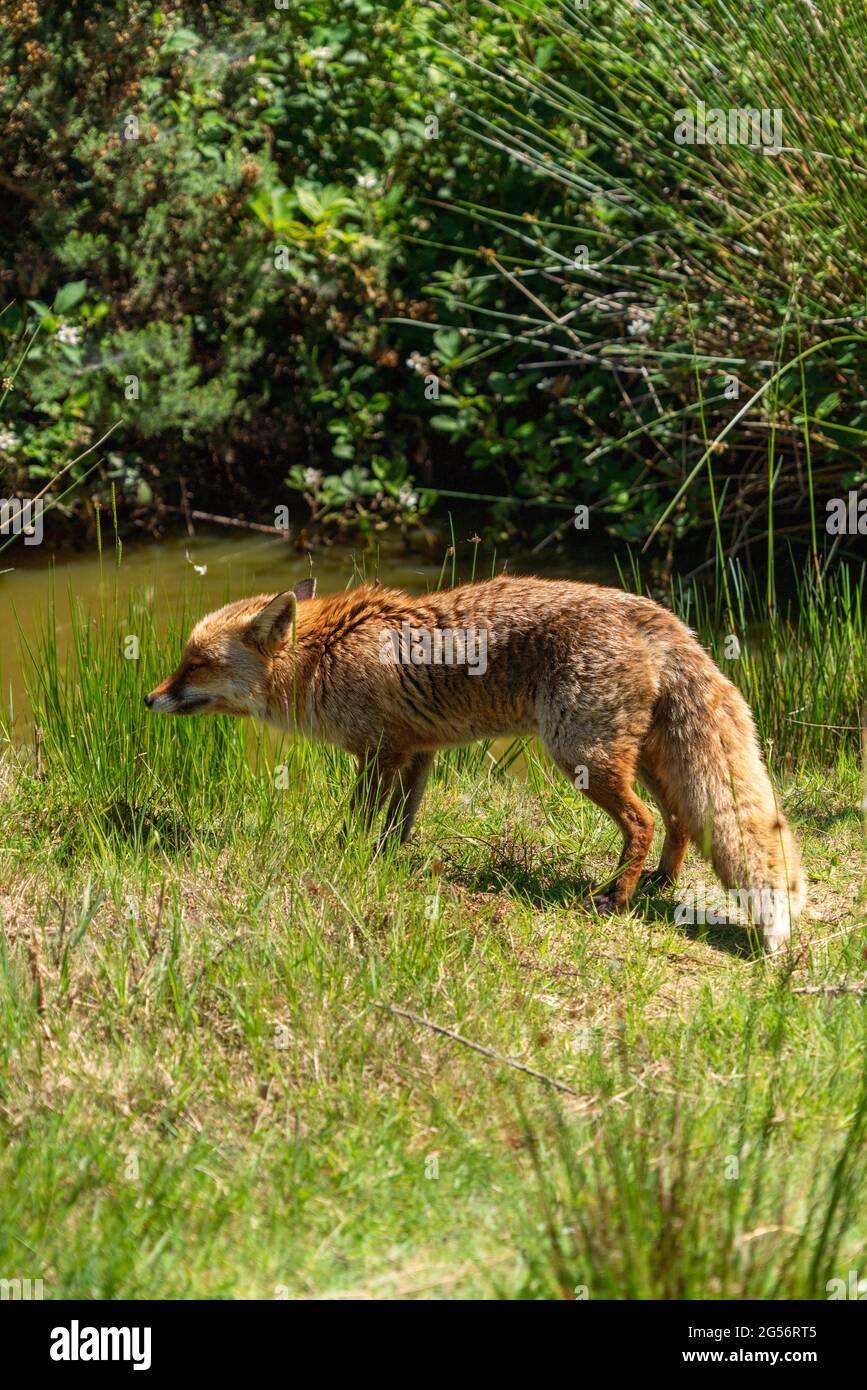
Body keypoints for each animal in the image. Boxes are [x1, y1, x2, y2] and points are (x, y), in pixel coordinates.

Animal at [145, 574, 806, 954]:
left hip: (580, 756)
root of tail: (653, 615)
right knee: (679, 820)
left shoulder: (379, 753)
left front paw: (341, 856)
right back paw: (657, 883)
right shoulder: (417, 753)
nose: (148, 699)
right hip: (637, 759)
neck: (325, 654)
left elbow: (359, 818)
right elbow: (398, 823)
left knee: (642, 822)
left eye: (195, 664)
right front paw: (388, 861)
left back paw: (614, 899)